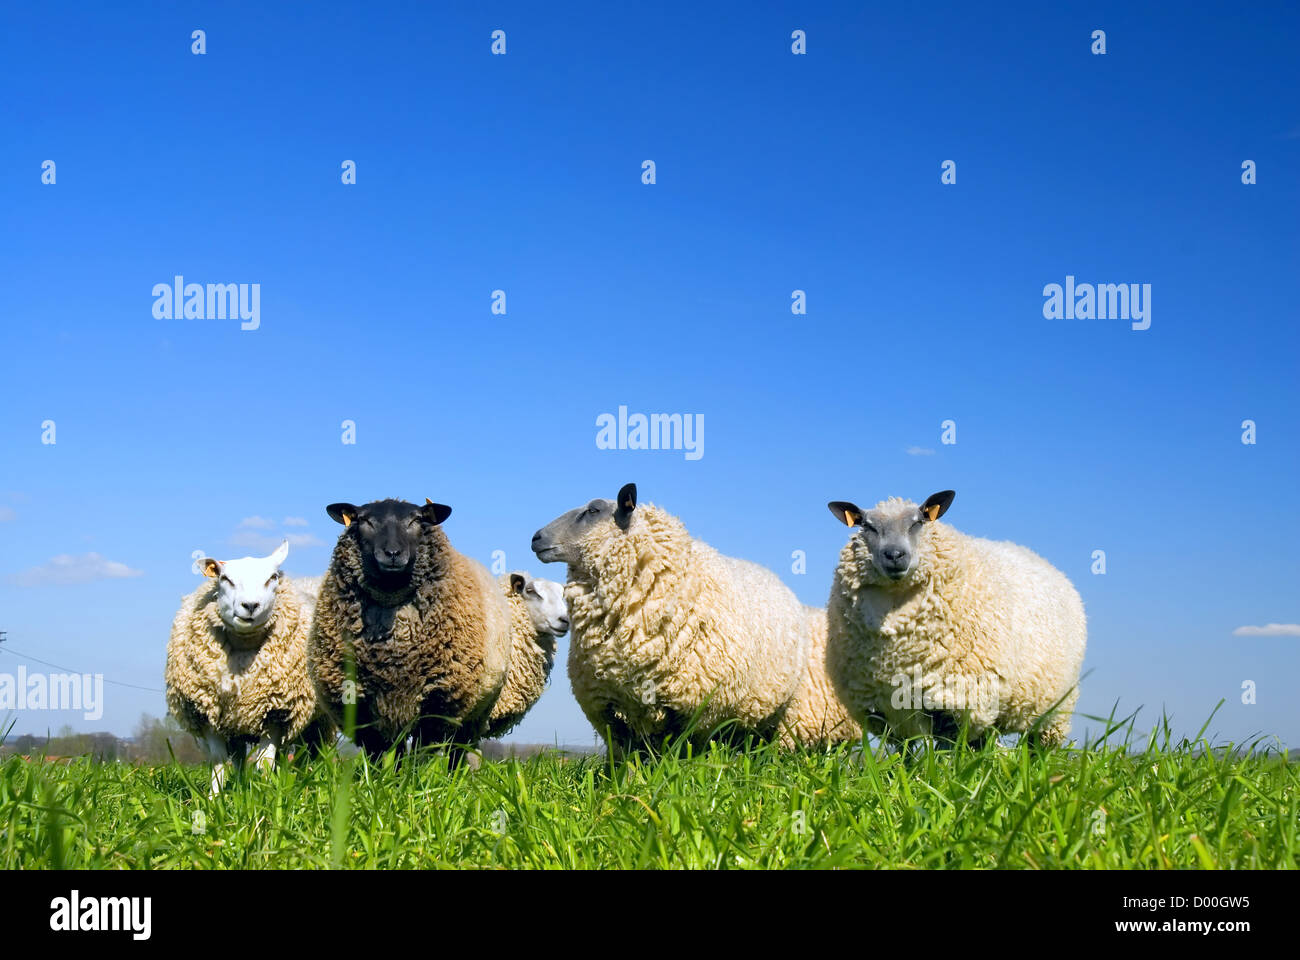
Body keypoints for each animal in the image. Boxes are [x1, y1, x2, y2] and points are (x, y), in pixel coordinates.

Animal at [165, 540, 335, 794]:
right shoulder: (207, 711)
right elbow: (218, 762)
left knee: (312, 752)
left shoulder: (276, 711)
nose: (250, 605)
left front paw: (264, 794)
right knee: (240, 757)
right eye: (225, 578)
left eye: (272, 578)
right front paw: (215, 797)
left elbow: (264, 763)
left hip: (319, 719)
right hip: (235, 722)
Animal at [308, 498, 512, 763]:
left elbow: (423, 750)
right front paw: (384, 774)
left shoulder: (439, 700)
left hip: (475, 711)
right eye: (365, 521)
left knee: (458, 749)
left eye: (415, 520)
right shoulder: (360, 705)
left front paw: (417, 775)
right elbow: (379, 752)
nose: (393, 553)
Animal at [531, 483, 815, 755]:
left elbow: (680, 753)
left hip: (774, 711)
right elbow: (626, 758)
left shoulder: (696, 709)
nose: (536, 537)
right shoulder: (607, 709)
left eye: (593, 510)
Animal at [824, 490, 1087, 747]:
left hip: (1054, 711)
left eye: (918, 522)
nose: (894, 555)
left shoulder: (955, 700)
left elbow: (944, 749)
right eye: (867, 526)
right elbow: (904, 753)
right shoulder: (884, 710)